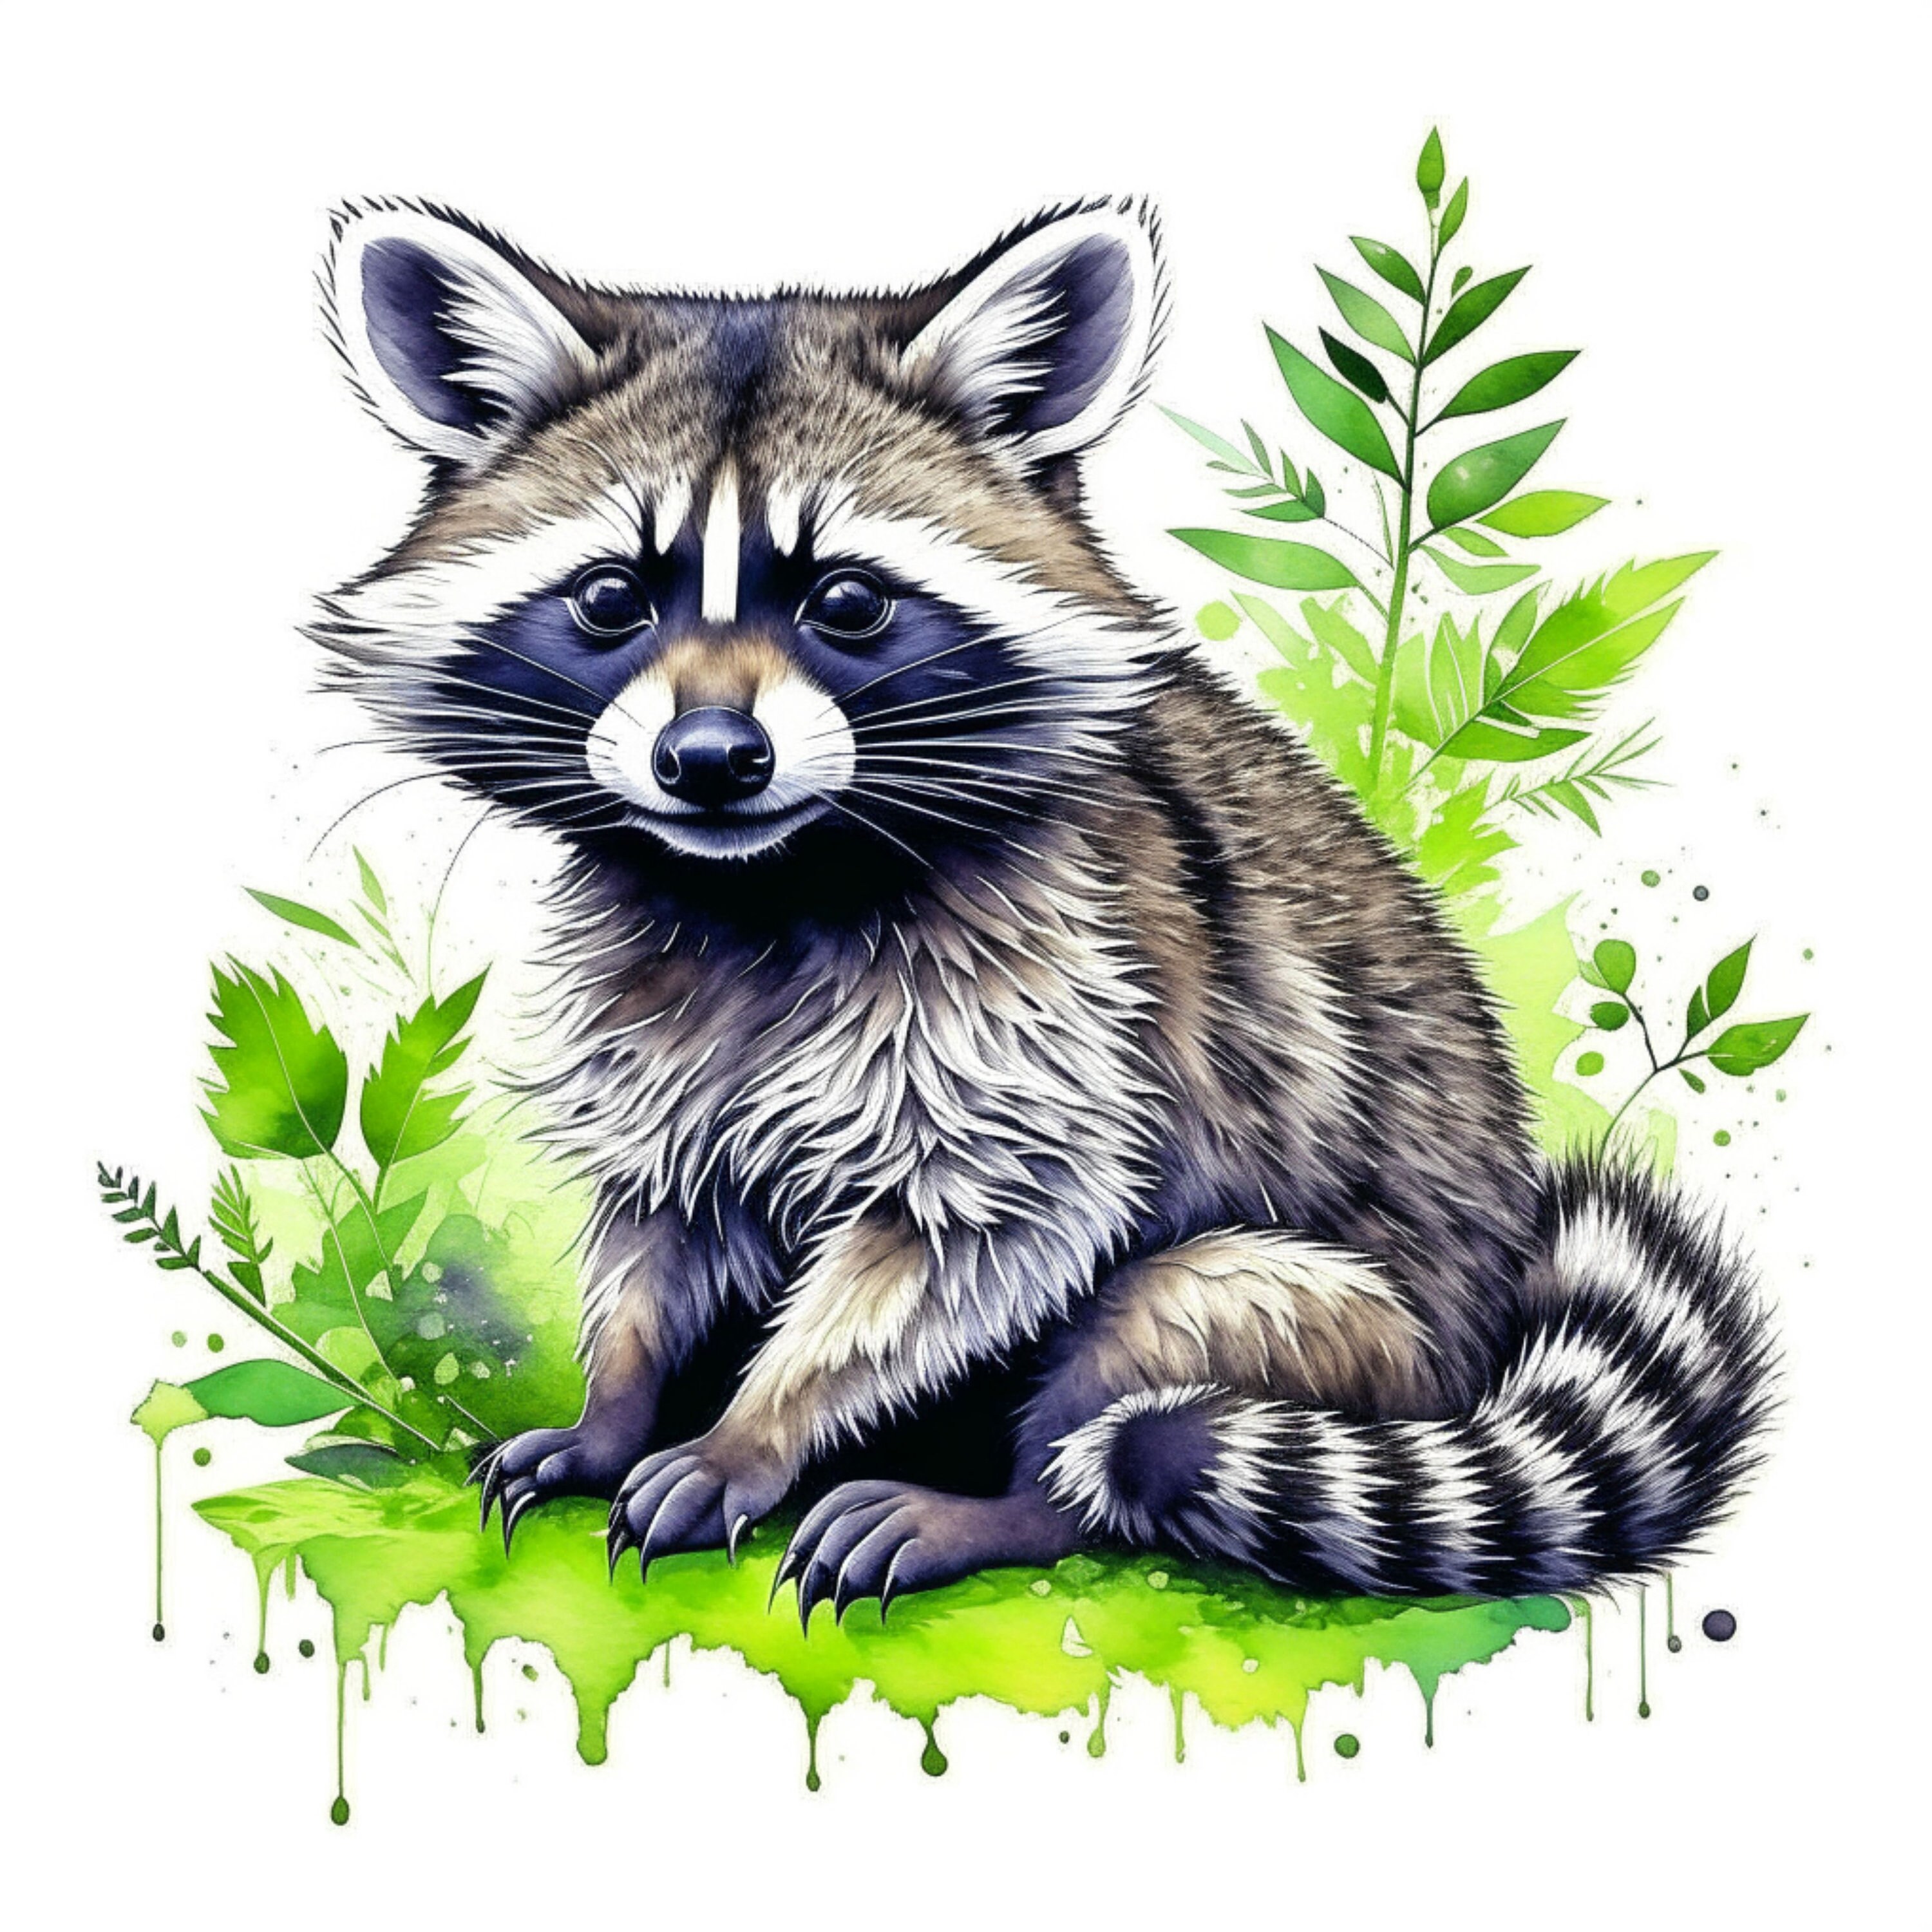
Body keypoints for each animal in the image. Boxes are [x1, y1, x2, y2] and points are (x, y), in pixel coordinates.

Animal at [311, 197, 1774, 1619]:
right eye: (612, 597)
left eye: (848, 601)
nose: (714, 759)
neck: (758, 880)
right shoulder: (645, 981)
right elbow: (664, 1206)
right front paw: (619, 1401)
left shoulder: (1063, 975)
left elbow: (982, 1224)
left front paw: (752, 1428)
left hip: (1348, 1322)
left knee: (1171, 1337)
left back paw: (1014, 1502)